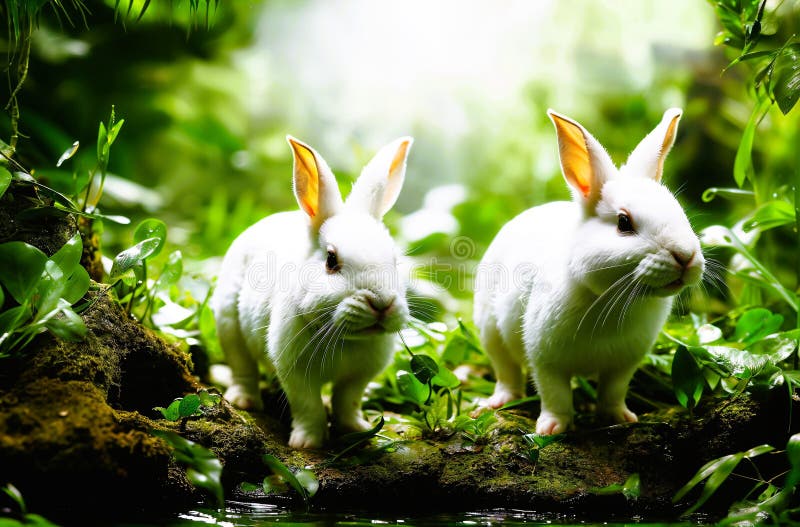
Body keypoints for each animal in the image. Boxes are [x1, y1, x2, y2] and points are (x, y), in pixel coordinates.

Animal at [211, 135, 413, 449]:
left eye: (394, 260)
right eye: (331, 260)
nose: (381, 303)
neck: (345, 339)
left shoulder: (359, 377)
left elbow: (347, 401)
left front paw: (355, 429)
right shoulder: (294, 371)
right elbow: (308, 405)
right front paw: (308, 442)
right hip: (229, 325)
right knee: (242, 368)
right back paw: (244, 401)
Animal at [473, 108, 705, 435]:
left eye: (679, 211)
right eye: (623, 223)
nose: (685, 256)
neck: (610, 298)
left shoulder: (623, 365)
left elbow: (613, 392)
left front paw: (620, 417)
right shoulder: (545, 359)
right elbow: (554, 394)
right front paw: (552, 428)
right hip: (490, 331)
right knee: (506, 372)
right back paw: (500, 401)